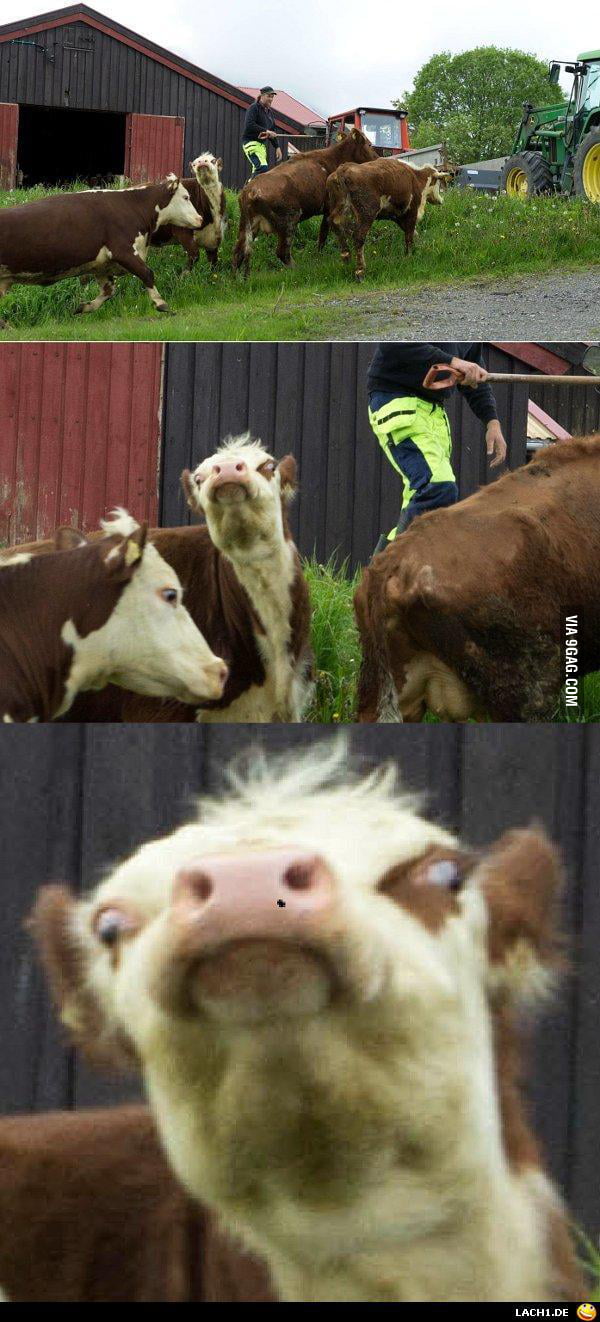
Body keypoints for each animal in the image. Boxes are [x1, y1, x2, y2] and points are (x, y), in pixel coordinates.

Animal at [0, 176, 203, 324]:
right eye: (186, 197)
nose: (200, 219)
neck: (133, 207)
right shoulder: (123, 250)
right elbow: (147, 273)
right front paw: (161, 303)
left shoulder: (102, 265)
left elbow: (108, 291)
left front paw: (84, 307)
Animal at [231, 129, 378, 275]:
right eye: (369, 144)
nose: (377, 159)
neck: (335, 158)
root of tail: (250, 190)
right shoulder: (329, 208)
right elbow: (323, 234)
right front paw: (319, 256)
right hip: (289, 220)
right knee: (282, 252)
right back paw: (298, 270)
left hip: (247, 225)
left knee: (238, 251)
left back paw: (235, 277)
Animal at [319, 159, 450, 279]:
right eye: (438, 183)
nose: (441, 200)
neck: (416, 176)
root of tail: (343, 169)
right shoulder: (411, 211)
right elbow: (409, 235)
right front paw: (409, 255)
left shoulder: (397, 215)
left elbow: (412, 232)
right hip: (366, 213)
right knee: (358, 237)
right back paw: (360, 270)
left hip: (339, 208)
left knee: (335, 224)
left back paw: (346, 257)